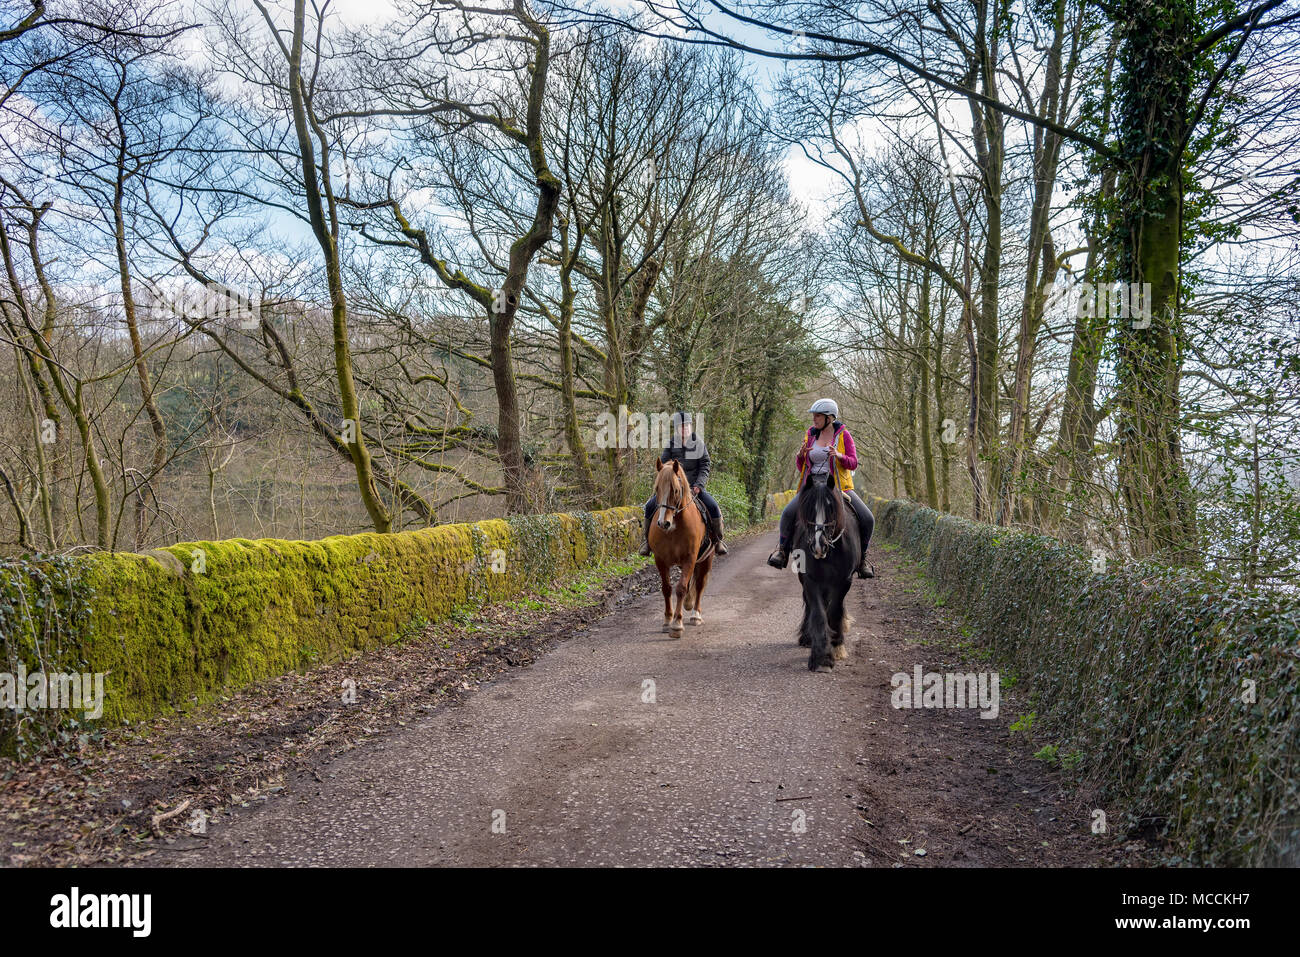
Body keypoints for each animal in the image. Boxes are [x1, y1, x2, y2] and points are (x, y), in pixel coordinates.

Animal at [648, 458, 715, 637]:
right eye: (657, 489)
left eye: (676, 490)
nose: (663, 523)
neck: (674, 527)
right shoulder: (660, 560)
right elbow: (666, 588)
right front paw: (667, 620)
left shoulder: (689, 559)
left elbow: (681, 588)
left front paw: (677, 624)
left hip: (706, 560)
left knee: (699, 584)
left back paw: (696, 615)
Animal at [790, 475, 860, 671]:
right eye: (808, 508)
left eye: (831, 507)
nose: (818, 545)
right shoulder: (810, 579)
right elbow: (819, 614)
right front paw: (821, 657)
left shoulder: (844, 580)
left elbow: (834, 611)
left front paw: (836, 646)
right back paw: (807, 637)